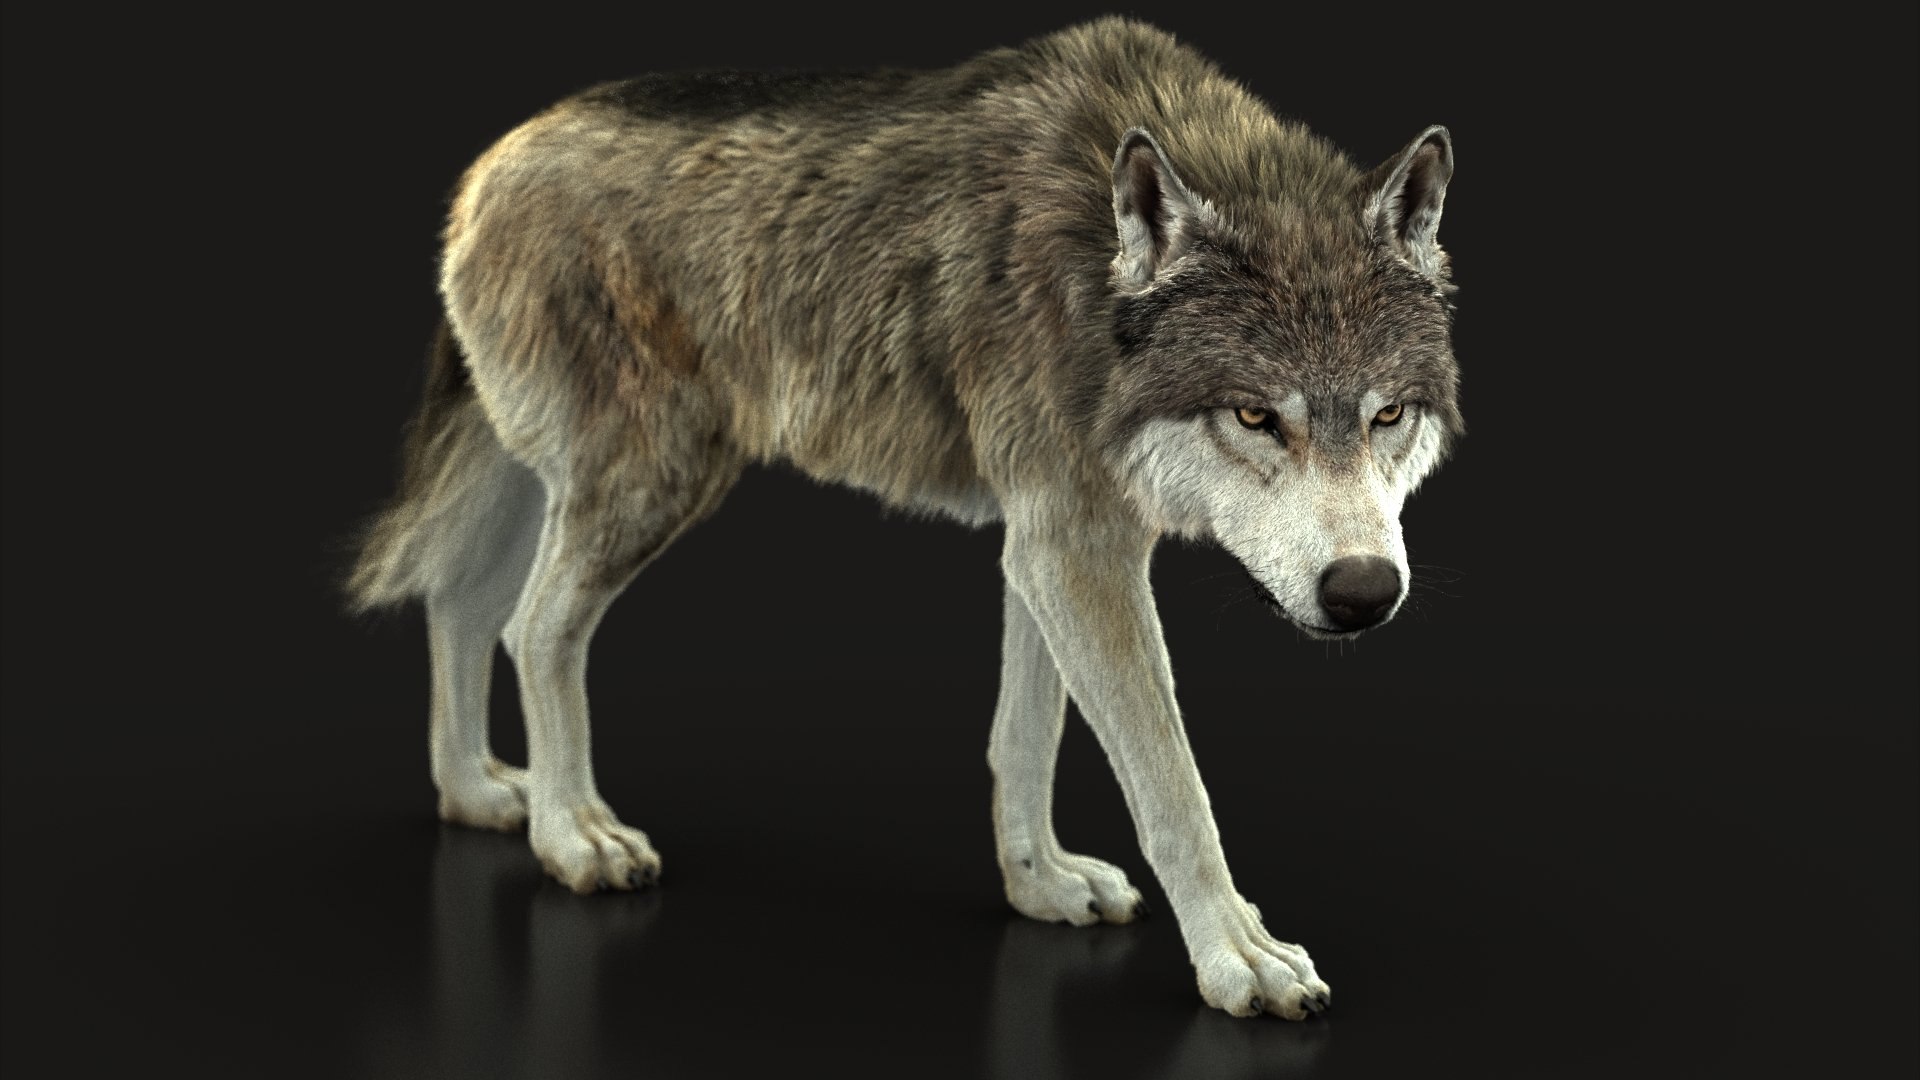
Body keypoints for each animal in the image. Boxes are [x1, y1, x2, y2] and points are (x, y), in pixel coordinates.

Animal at [346, 16, 1462, 1021]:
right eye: (1255, 416)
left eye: (1388, 416)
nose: (1365, 594)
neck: (1092, 266)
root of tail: (488, 164)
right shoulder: (1073, 547)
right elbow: (1173, 786)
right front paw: (1237, 958)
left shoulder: (1059, 541)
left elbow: (1026, 737)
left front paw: (1040, 883)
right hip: (651, 481)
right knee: (534, 629)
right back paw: (572, 834)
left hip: (548, 486)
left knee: (460, 604)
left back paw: (480, 793)